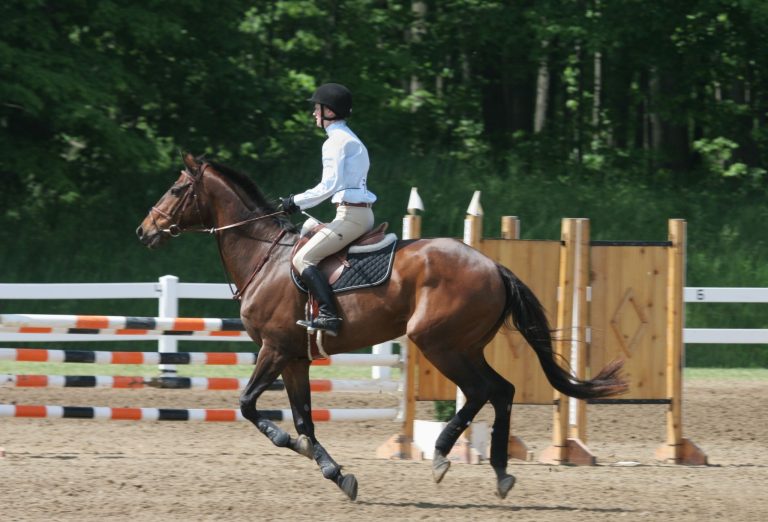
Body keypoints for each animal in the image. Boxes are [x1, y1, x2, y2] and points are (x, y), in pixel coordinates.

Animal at [136, 153, 627, 501]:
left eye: (176, 188)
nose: (144, 231)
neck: (266, 257)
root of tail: (494, 265)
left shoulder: (273, 350)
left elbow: (249, 406)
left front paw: (291, 445)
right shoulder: (294, 358)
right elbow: (303, 418)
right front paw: (335, 473)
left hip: (438, 343)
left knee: (482, 391)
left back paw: (444, 456)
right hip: (465, 345)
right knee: (501, 391)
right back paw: (500, 472)